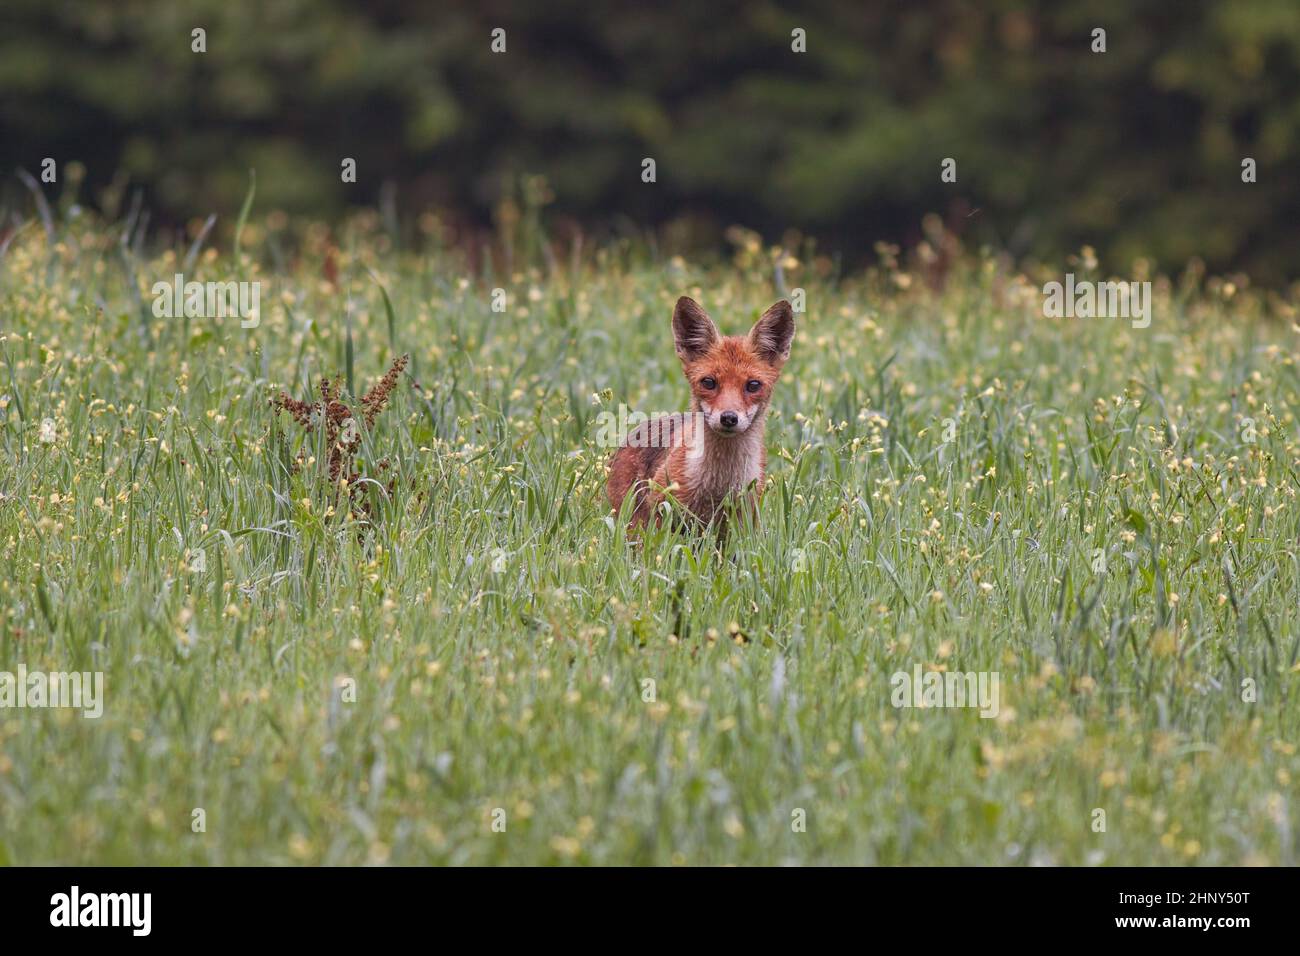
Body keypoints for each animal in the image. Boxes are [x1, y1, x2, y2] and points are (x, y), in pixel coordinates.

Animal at [606, 295, 795, 529]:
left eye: (753, 385)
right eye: (709, 382)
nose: (729, 418)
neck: (718, 485)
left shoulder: (742, 522)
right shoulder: (661, 510)